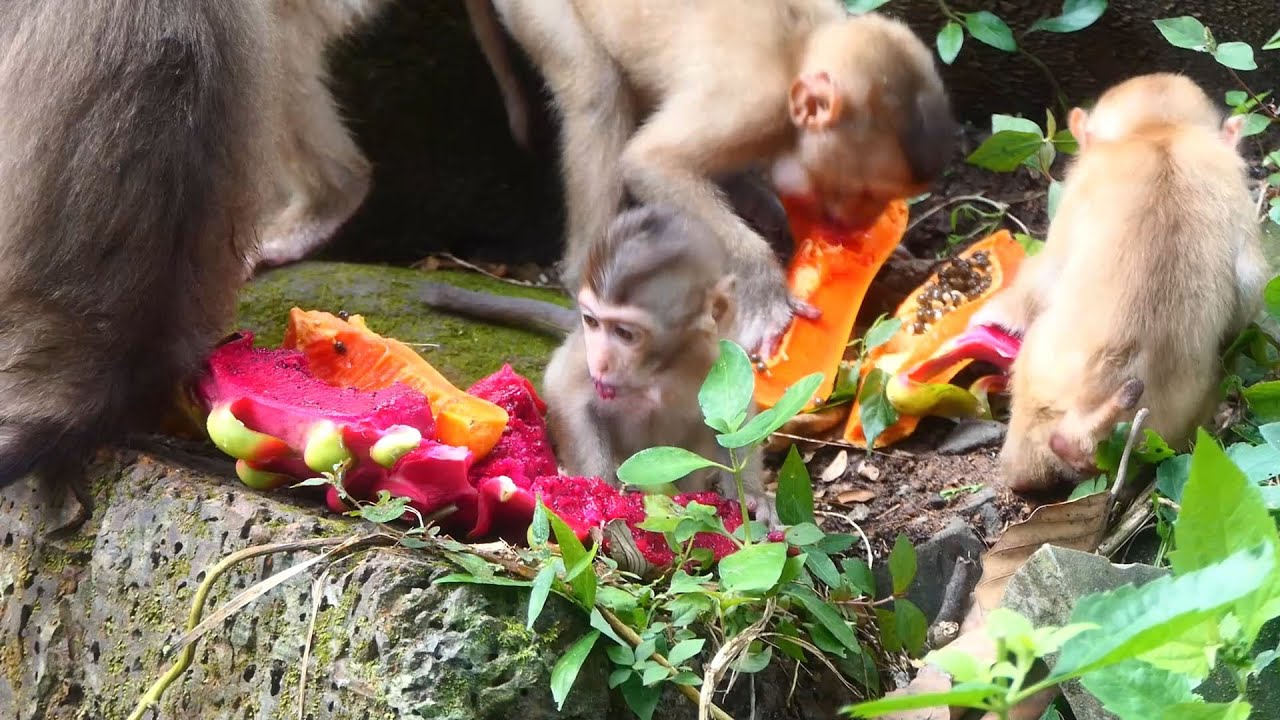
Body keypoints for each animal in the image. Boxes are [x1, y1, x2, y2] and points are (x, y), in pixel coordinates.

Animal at [486, 0, 956, 358]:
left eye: (880, 200)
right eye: (865, 192)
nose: (859, 222)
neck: (798, 55)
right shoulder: (754, 105)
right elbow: (649, 162)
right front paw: (765, 292)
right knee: (595, 92)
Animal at [973, 73, 1270, 493]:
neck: (1158, 133)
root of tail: (1085, 432)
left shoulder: (1081, 185)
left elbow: (1048, 275)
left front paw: (993, 315)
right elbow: (1249, 288)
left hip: (1039, 392)